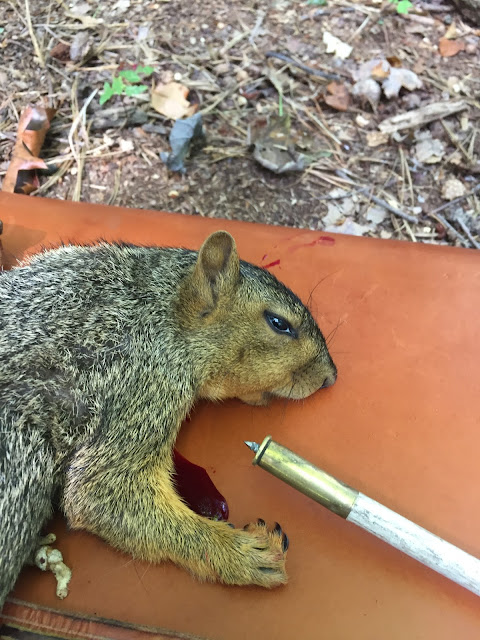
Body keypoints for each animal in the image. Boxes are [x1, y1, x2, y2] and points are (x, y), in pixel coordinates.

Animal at [0, 230, 337, 607]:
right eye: (278, 323)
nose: (331, 376)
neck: (160, 306)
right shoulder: (143, 385)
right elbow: (100, 490)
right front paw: (241, 553)